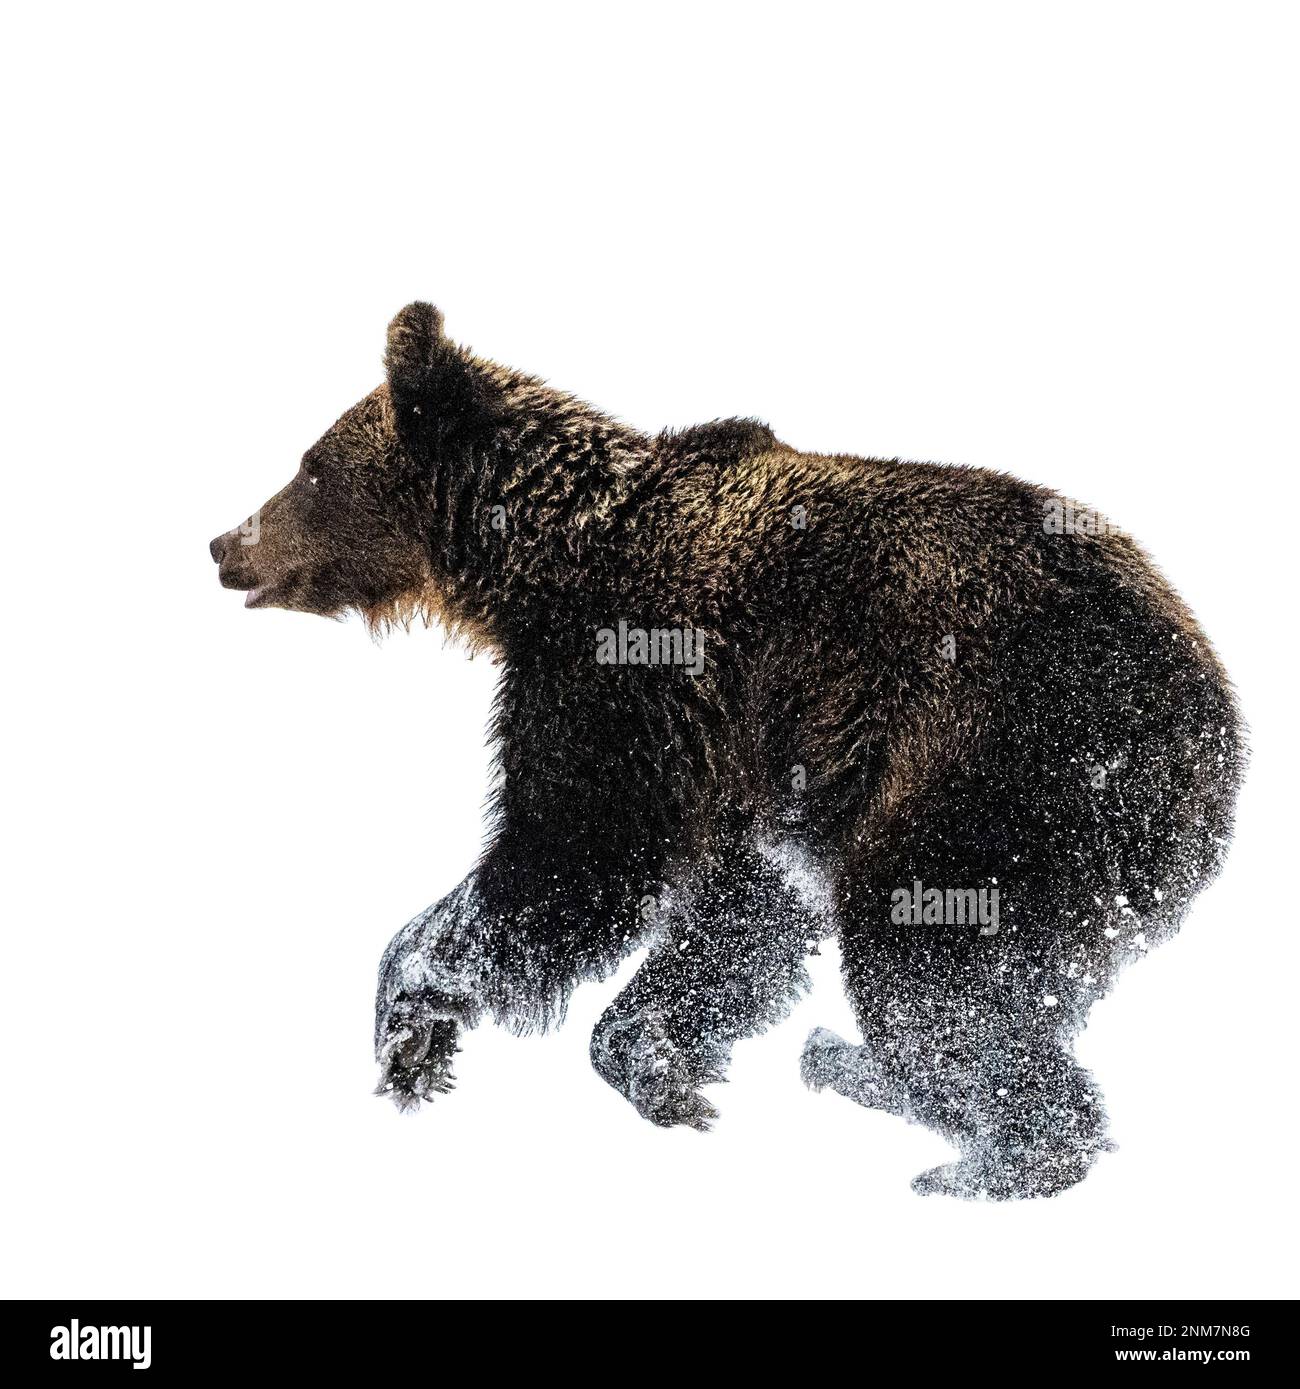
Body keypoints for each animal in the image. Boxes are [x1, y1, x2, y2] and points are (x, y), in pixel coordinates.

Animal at [210, 302, 1243, 1199]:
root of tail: (1206, 718)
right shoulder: (755, 765)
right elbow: (739, 918)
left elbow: (572, 854)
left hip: (998, 765)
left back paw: (990, 1155)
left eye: (308, 467)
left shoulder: (626, 680)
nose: (224, 542)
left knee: (926, 960)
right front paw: (663, 1067)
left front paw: (413, 1019)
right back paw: (864, 1070)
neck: (544, 564)